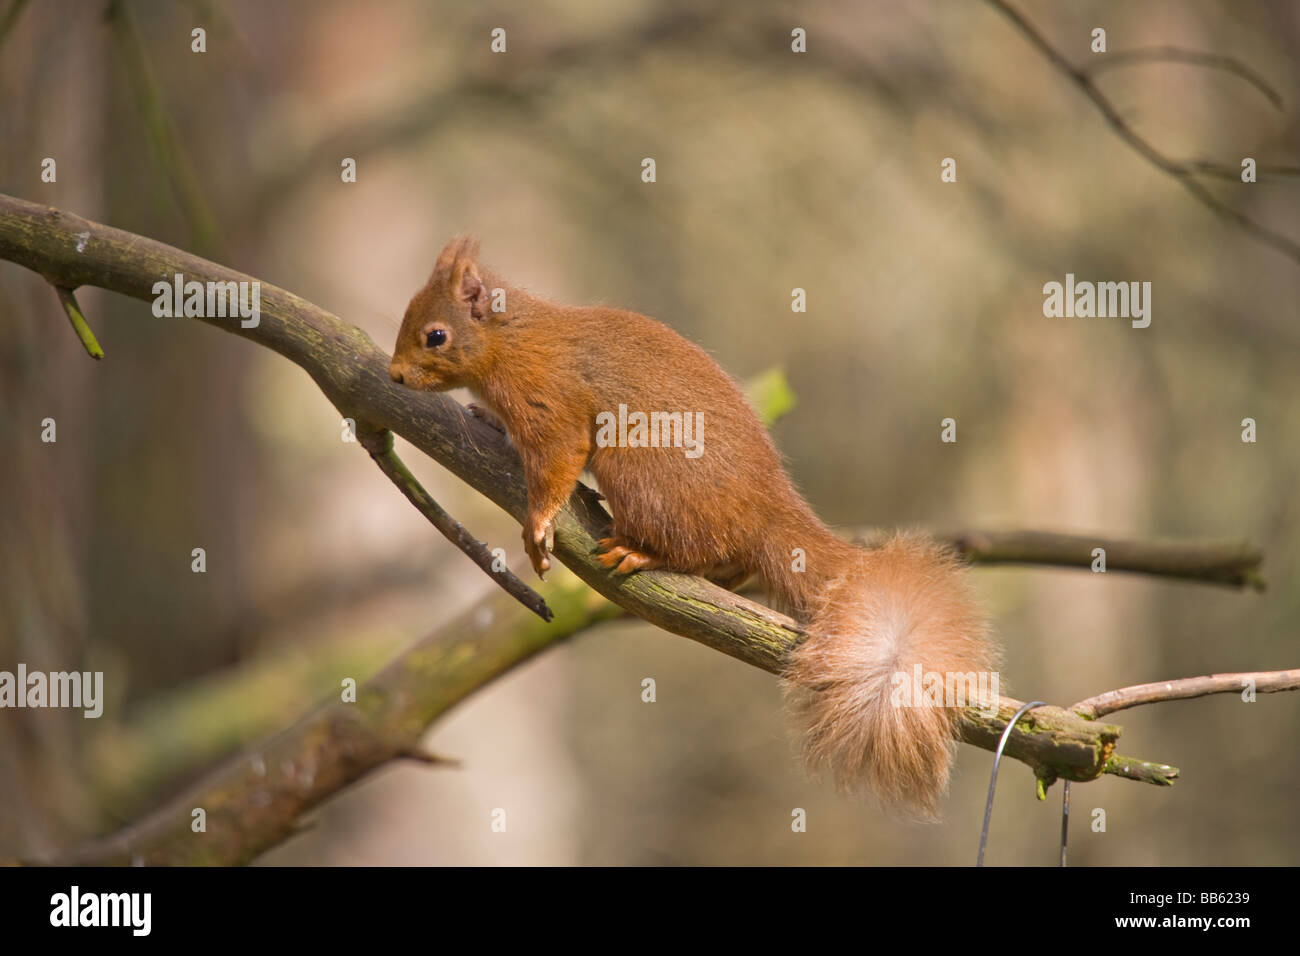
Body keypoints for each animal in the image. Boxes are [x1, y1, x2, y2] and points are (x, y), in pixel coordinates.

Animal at [389, 237, 998, 817]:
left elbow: (558, 460)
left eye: (436, 336)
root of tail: (765, 508)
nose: (393, 375)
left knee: (701, 547)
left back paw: (646, 555)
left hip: (640, 471)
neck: (511, 339)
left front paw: (537, 525)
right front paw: (483, 418)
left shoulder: (549, 401)